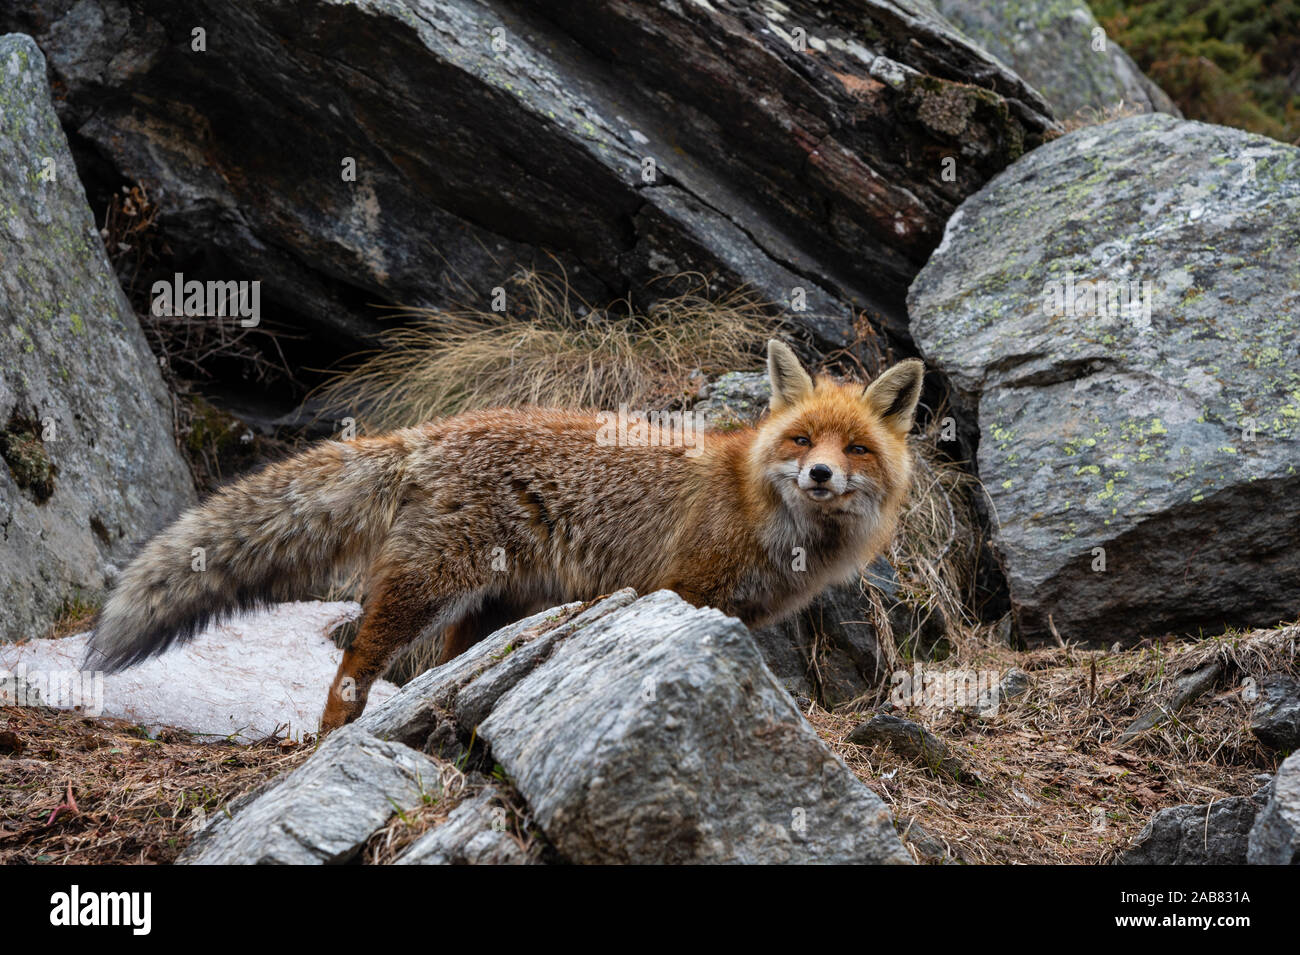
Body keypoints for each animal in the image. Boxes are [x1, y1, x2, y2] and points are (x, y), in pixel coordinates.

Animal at [84, 341, 924, 732]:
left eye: (855, 448)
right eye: (802, 439)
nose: (820, 474)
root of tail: (433, 430)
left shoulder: (740, 611)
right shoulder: (681, 590)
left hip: (495, 611)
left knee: (439, 671)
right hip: (427, 588)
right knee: (357, 659)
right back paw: (333, 733)